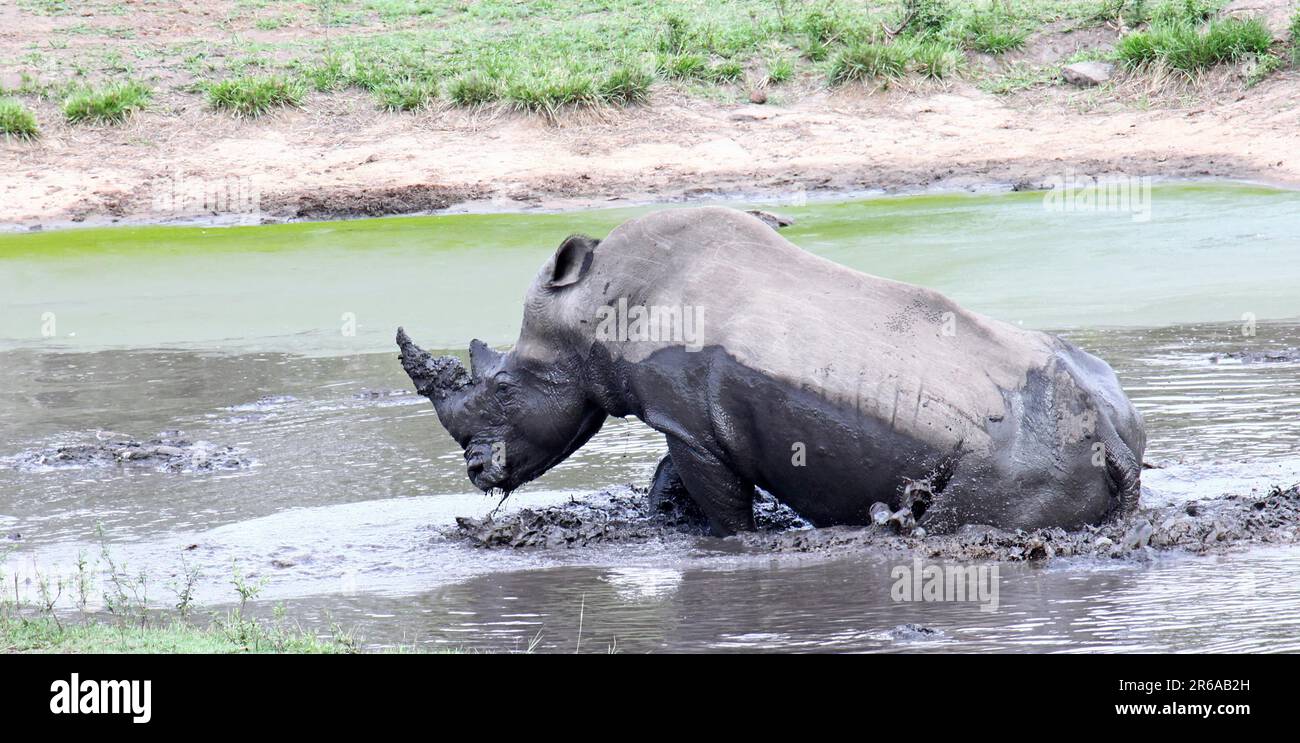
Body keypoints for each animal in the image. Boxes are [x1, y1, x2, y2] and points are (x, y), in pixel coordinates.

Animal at [397, 206, 1145, 536]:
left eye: (502, 386)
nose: (476, 471)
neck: (594, 308)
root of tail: (1111, 441)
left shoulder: (687, 418)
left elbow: (720, 498)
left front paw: (728, 539)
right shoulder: (686, 418)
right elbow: (671, 480)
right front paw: (667, 520)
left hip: (1026, 457)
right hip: (1091, 421)